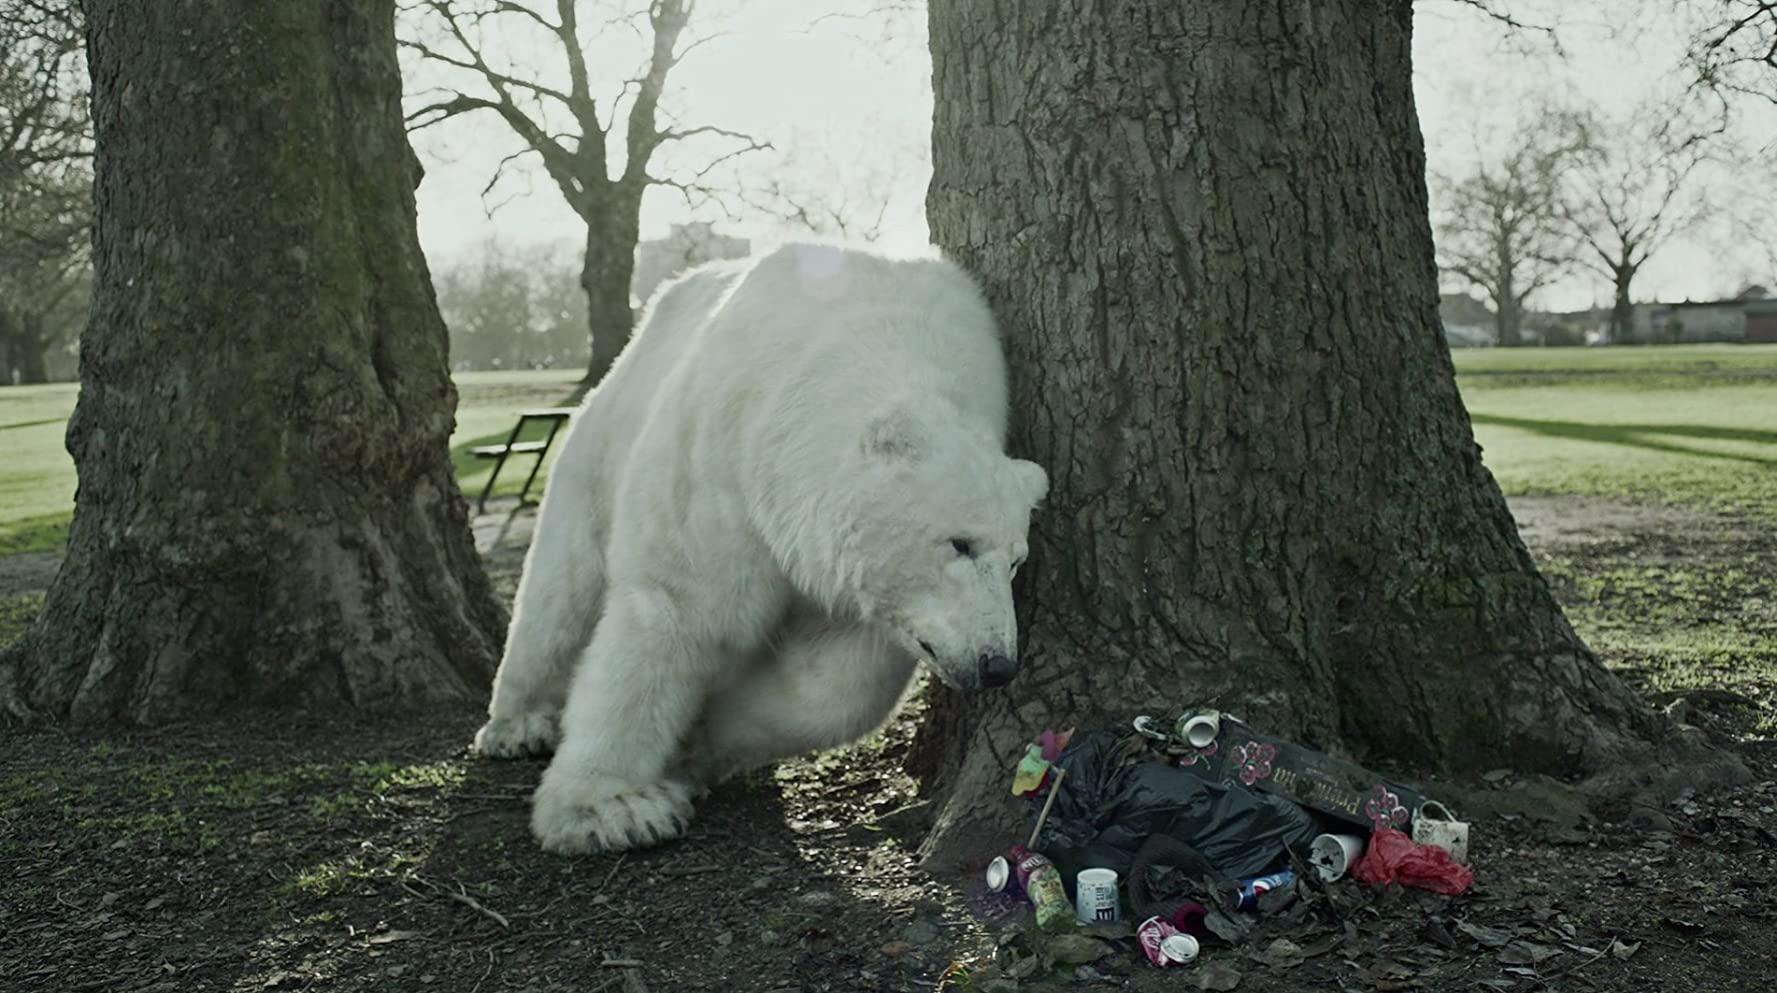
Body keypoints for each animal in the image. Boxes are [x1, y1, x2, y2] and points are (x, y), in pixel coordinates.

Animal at [471, 240, 1049, 855]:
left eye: (1016, 560)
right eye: (959, 543)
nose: (996, 663)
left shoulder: (841, 575)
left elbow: (840, 683)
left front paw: (691, 750)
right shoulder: (726, 459)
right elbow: (679, 612)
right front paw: (611, 808)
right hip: (603, 441)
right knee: (559, 590)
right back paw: (516, 724)